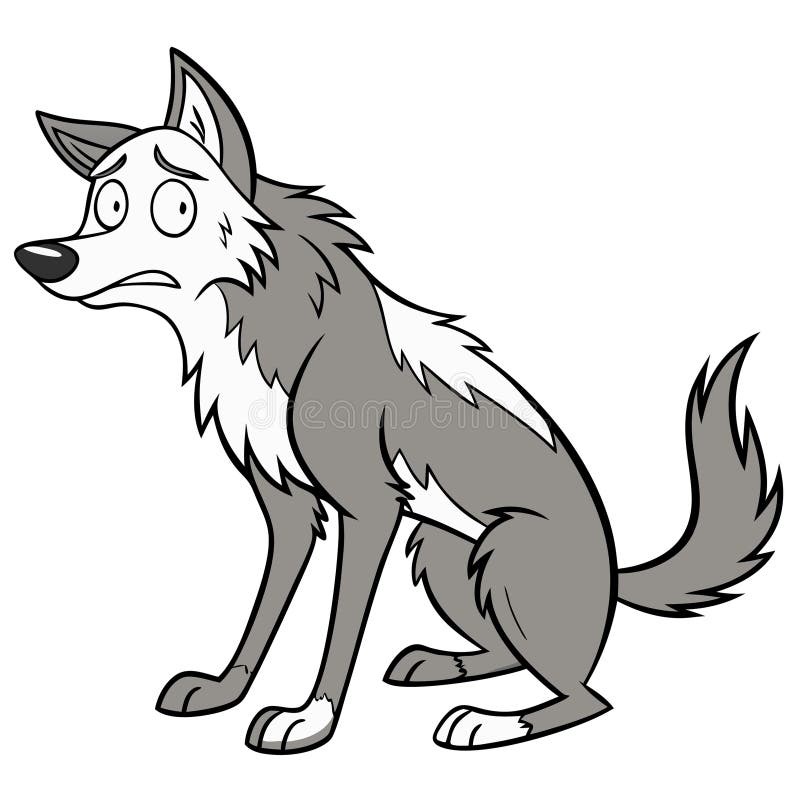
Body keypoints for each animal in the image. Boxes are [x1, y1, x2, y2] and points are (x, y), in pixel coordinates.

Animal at [14, 50, 782, 753]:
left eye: (173, 208)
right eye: (102, 206)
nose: (43, 257)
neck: (262, 320)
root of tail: (614, 568)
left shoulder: (370, 510)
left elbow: (339, 627)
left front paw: (309, 721)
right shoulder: (289, 509)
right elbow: (265, 610)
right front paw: (227, 690)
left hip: (501, 553)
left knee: (587, 697)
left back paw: (491, 722)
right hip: (444, 556)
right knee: (516, 659)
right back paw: (445, 665)